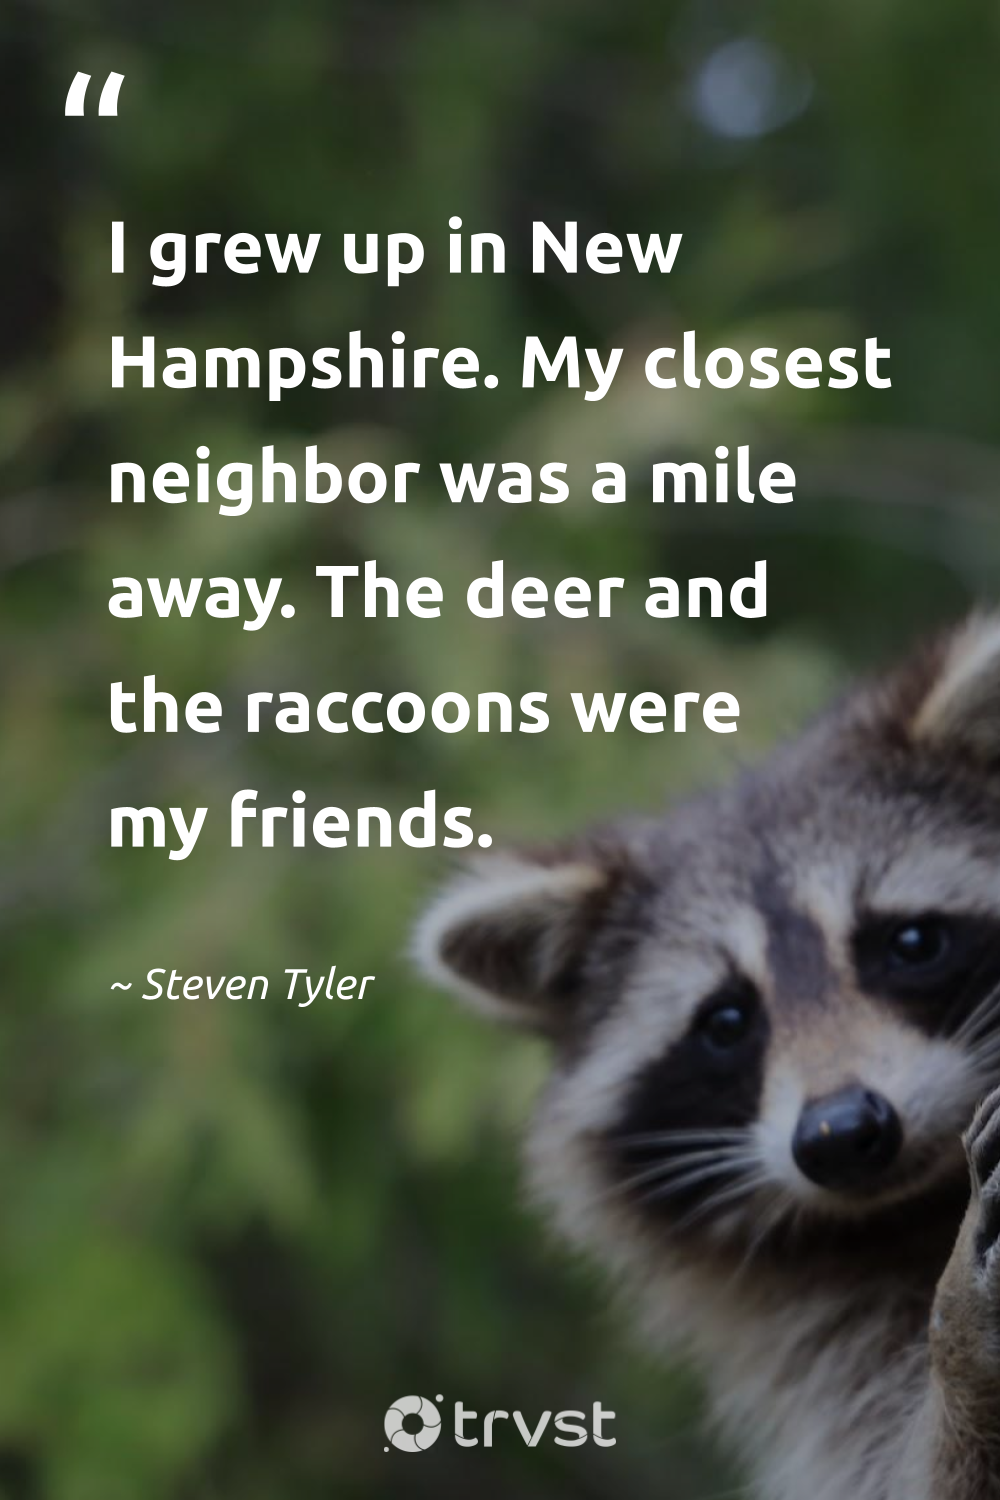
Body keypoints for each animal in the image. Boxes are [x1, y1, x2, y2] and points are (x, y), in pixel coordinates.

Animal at [414, 616, 1000, 1500]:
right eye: (726, 1022)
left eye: (911, 943)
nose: (841, 1133)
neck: (910, 1212)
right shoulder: (834, 1347)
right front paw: (963, 1353)